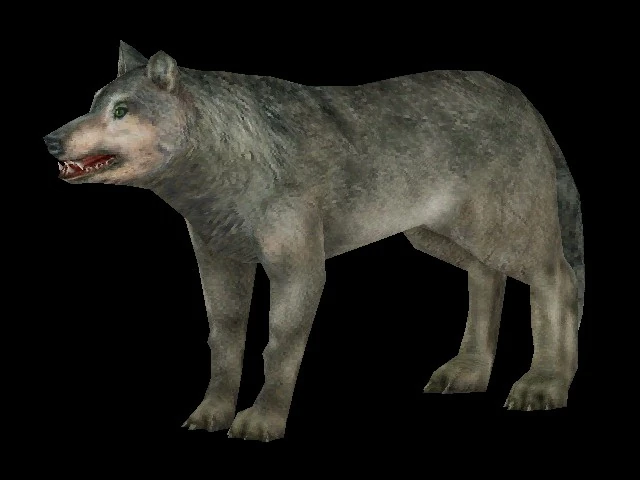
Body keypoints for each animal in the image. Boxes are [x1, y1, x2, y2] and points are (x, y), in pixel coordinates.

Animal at [44, 41, 585, 441]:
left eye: (121, 111)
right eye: (92, 104)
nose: (51, 140)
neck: (216, 175)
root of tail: (520, 99)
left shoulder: (298, 267)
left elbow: (279, 345)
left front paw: (261, 421)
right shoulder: (219, 261)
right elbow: (225, 341)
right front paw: (211, 414)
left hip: (503, 233)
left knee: (558, 279)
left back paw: (546, 384)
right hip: (439, 237)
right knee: (487, 277)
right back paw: (468, 372)